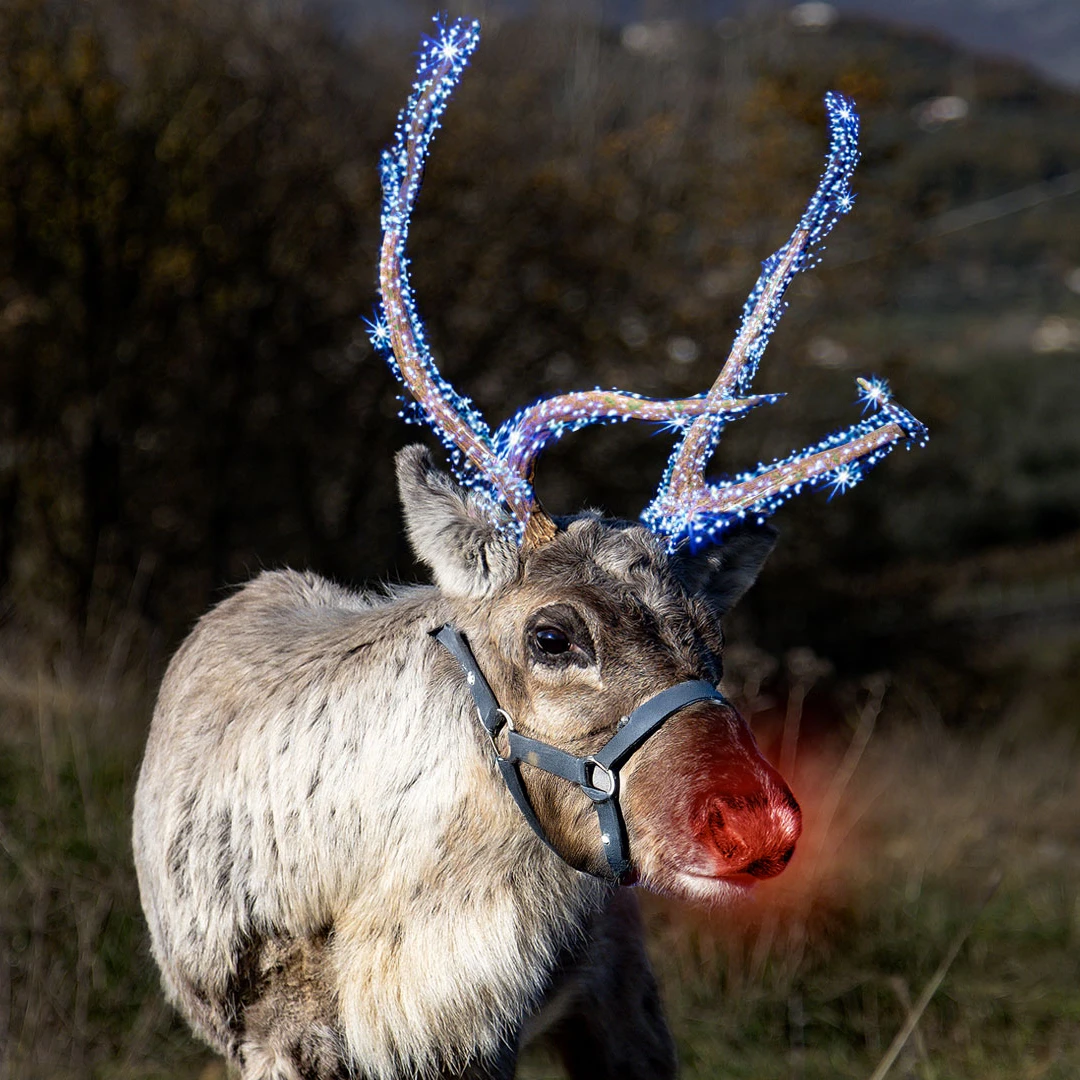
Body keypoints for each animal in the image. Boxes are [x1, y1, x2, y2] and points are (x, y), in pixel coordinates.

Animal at [132, 16, 926, 1080]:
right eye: (553, 635)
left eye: (711, 638)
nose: (757, 824)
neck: (382, 935)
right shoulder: (262, 1031)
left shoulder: (496, 1034)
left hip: (621, 993)